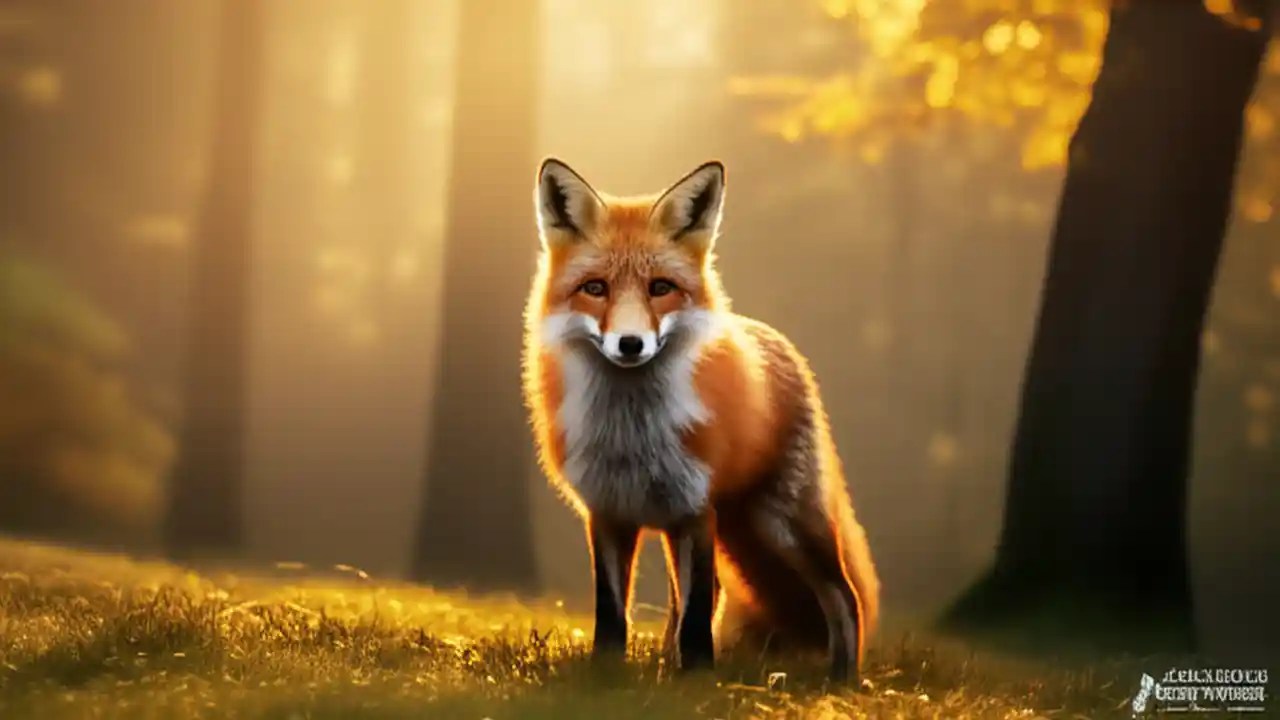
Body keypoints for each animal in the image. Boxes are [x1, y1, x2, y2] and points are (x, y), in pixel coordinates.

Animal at [522, 158, 880, 682]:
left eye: (660, 288)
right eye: (595, 289)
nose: (631, 343)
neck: (632, 434)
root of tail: (774, 337)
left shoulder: (693, 509)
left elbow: (695, 619)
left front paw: (695, 680)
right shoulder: (609, 512)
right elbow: (613, 614)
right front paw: (606, 675)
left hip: (783, 523)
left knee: (843, 596)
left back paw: (843, 682)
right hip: (727, 526)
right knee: (705, 595)